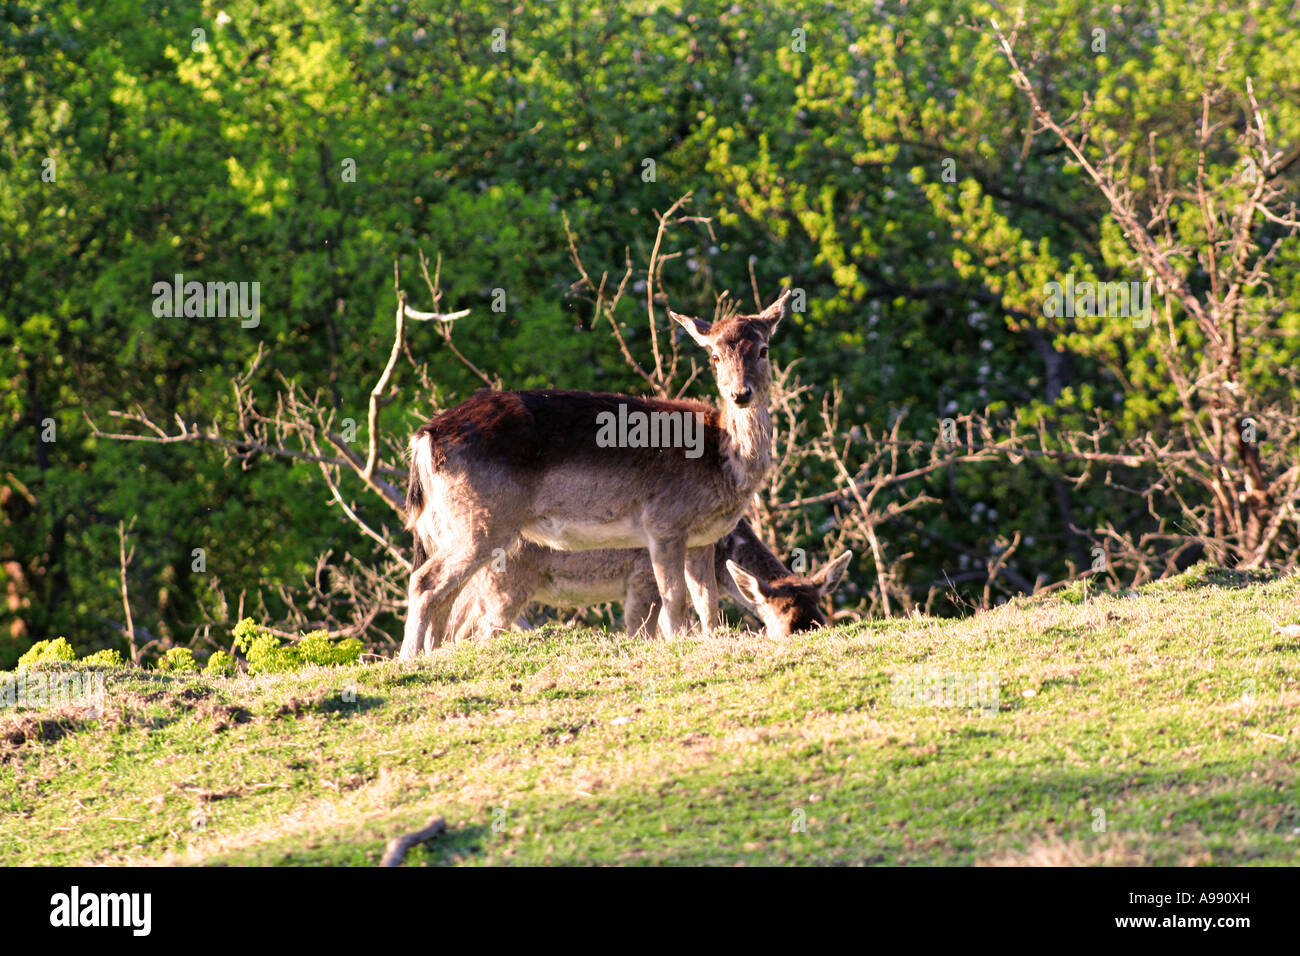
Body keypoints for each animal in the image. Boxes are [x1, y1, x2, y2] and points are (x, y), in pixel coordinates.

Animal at [400, 289, 791, 658]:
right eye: (714, 356)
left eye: (763, 349)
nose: (740, 393)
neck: (721, 460)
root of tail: (424, 438)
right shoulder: (663, 522)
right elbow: (675, 600)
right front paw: (680, 641)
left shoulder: (702, 538)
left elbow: (708, 604)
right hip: (482, 520)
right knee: (425, 581)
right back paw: (408, 658)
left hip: (447, 525)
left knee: (447, 595)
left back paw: (431, 654)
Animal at [444, 518, 853, 642]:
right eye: (780, 620)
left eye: (821, 616)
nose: (806, 630)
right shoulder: (642, 577)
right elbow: (642, 631)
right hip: (504, 583)